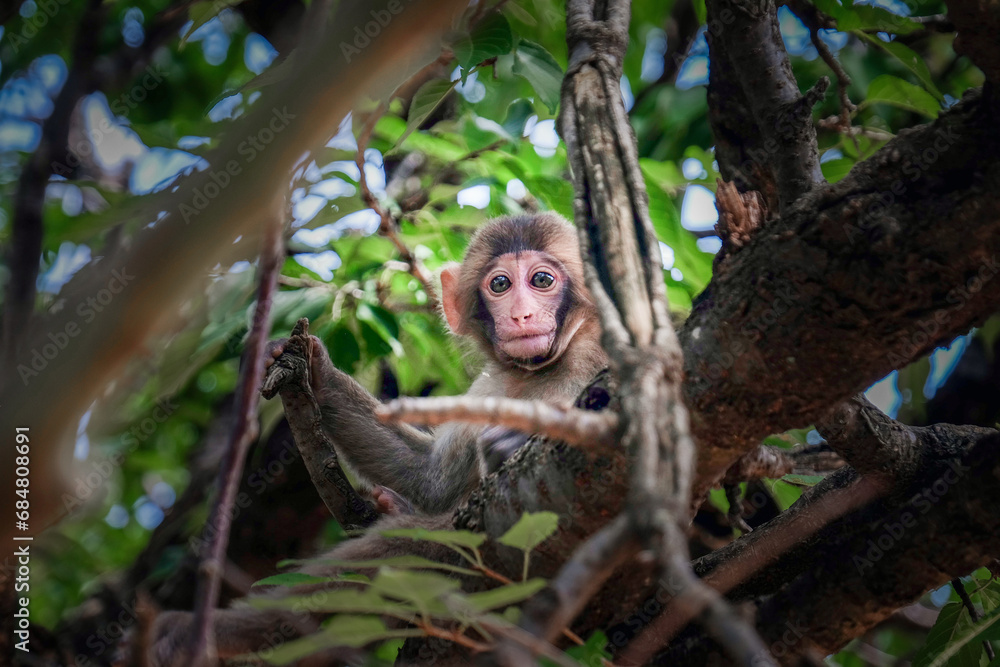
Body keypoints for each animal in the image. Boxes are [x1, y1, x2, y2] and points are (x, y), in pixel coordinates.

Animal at [143, 213, 607, 665]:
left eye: (542, 280)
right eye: (500, 284)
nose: (521, 316)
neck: (540, 370)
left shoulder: (594, 359)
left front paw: (513, 441)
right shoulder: (490, 388)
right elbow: (432, 482)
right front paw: (312, 366)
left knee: (411, 544)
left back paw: (223, 635)